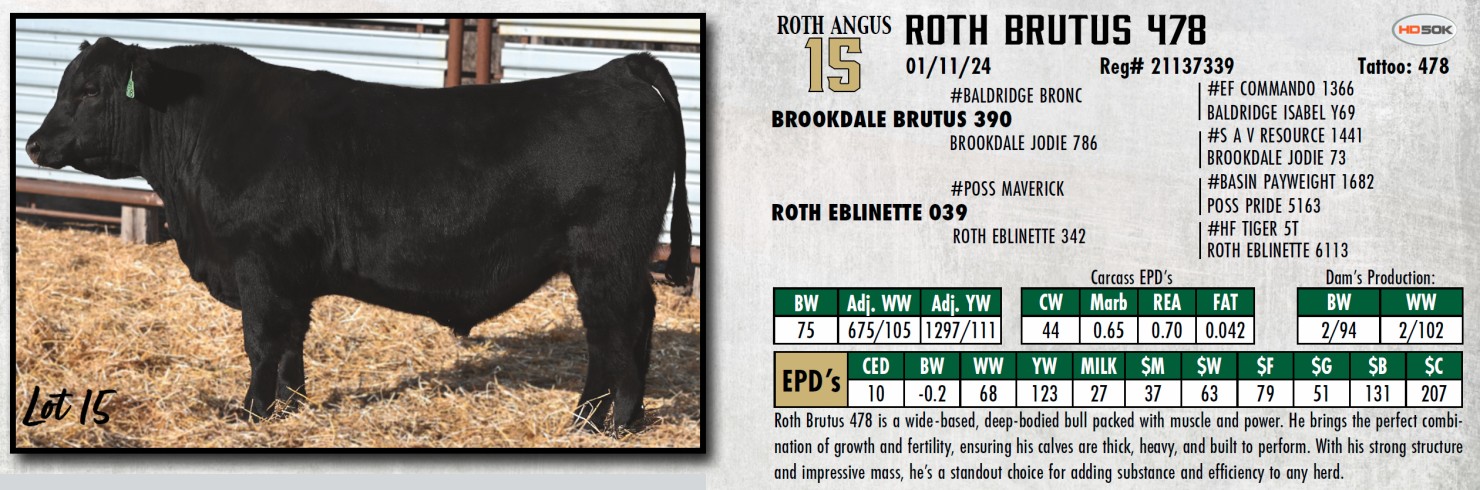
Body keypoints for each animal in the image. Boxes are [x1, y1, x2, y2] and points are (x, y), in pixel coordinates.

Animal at [25, 37, 693, 432]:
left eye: (90, 89)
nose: (33, 144)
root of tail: (616, 70)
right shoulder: (288, 277)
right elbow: (291, 343)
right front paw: (291, 408)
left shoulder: (259, 266)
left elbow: (261, 343)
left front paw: (250, 413)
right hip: (614, 259)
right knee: (630, 322)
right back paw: (614, 418)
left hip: (603, 255)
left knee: (612, 329)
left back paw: (600, 421)